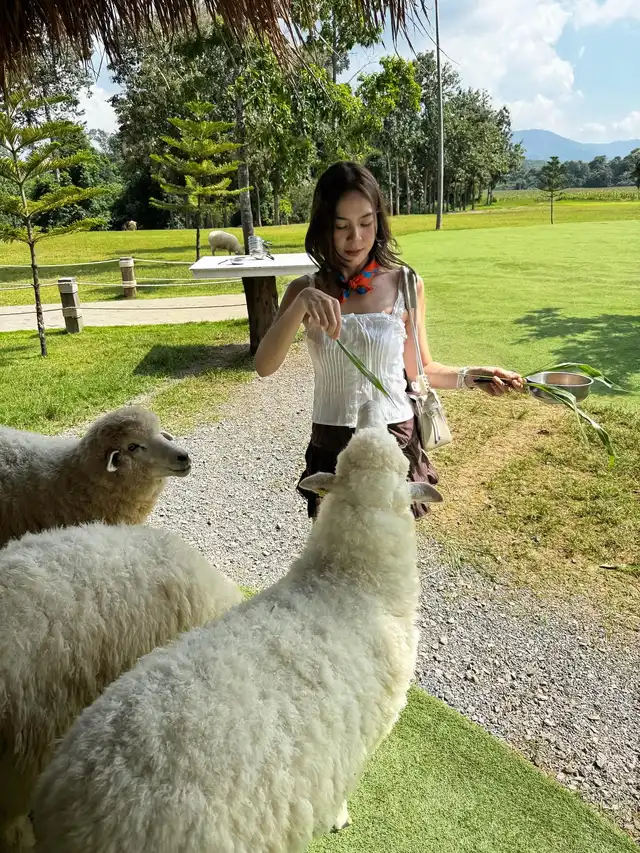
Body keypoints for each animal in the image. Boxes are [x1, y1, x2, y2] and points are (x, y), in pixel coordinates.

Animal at [31, 399, 442, 853]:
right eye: (403, 463)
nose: (370, 408)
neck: (347, 579)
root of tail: (69, 810)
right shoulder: (363, 742)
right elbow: (342, 790)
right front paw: (339, 818)